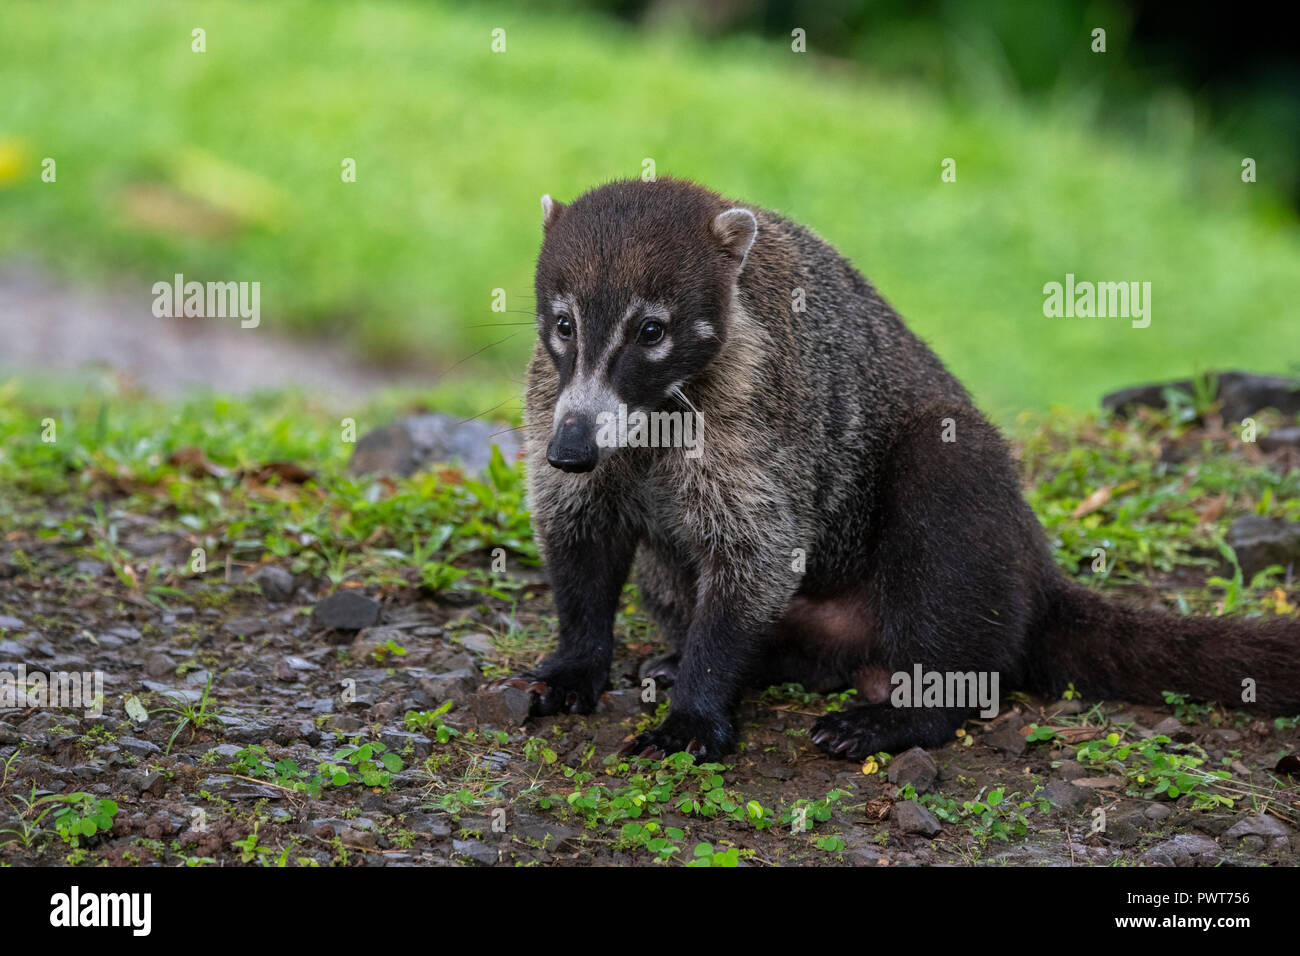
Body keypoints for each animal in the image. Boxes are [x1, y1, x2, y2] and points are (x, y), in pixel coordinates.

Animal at [498, 177, 1300, 761]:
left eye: (651, 332)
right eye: (564, 324)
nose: (571, 451)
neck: (653, 414)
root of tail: (1038, 573)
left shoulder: (756, 415)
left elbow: (756, 552)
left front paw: (697, 707)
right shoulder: (548, 393)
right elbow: (577, 531)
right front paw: (576, 661)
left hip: (961, 501)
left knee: (945, 508)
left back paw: (907, 712)